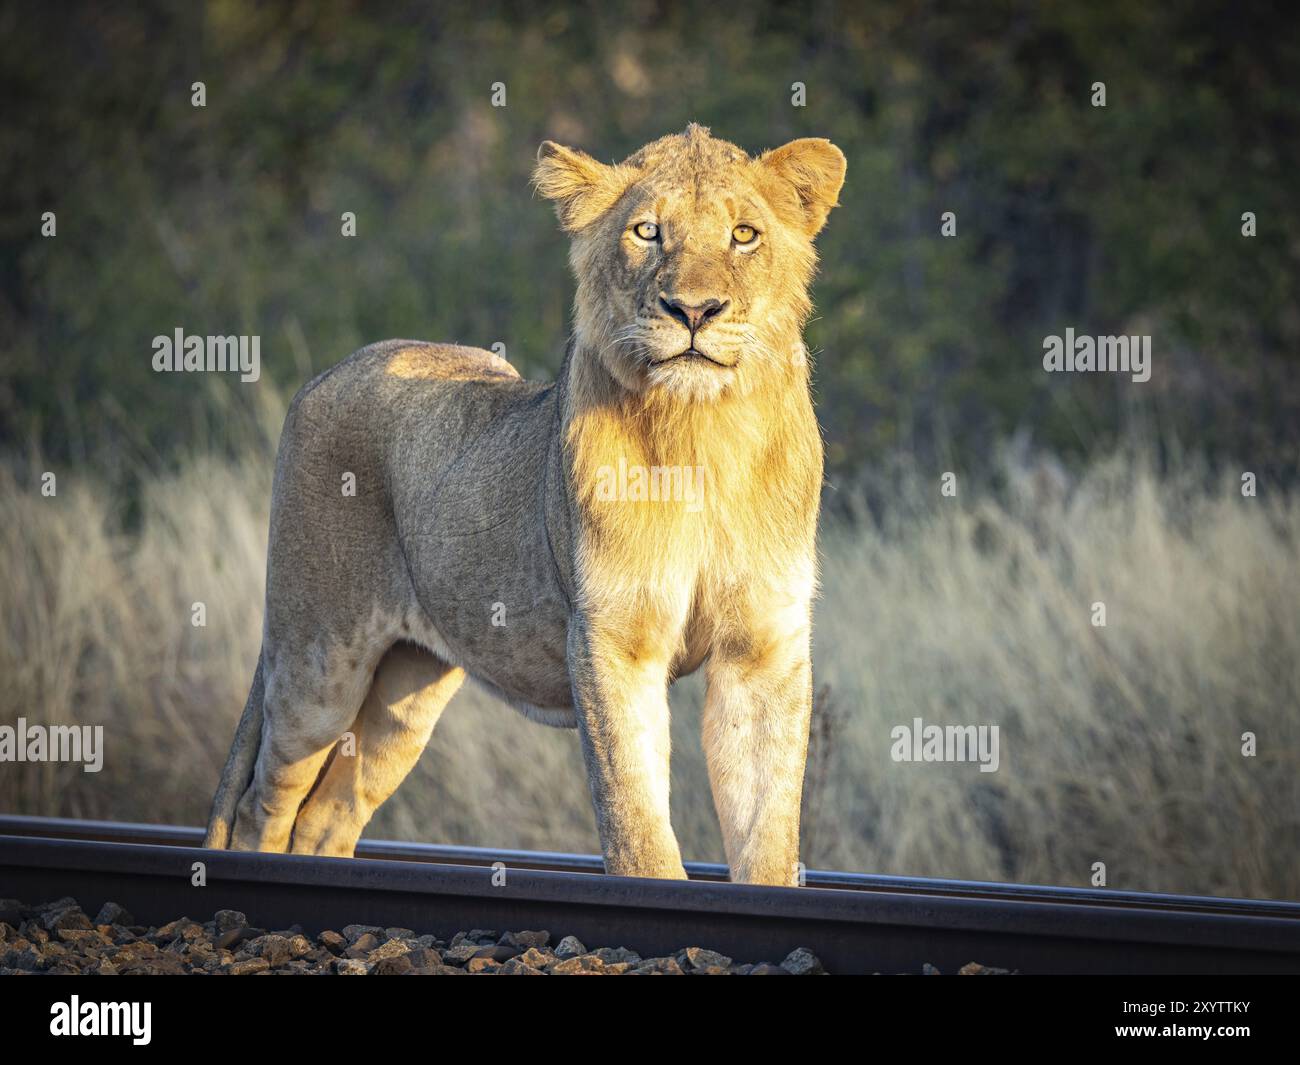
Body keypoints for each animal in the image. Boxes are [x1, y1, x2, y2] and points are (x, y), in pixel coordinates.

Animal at [204, 124, 845, 885]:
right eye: (647, 231)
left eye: (744, 234)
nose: (693, 310)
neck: (704, 434)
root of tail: (327, 372)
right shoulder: (609, 637)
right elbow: (634, 817)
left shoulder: (762, 646)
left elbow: (767, 827)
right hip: (318, 659)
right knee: (263, 804)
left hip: (407, 691)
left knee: (328, 815)